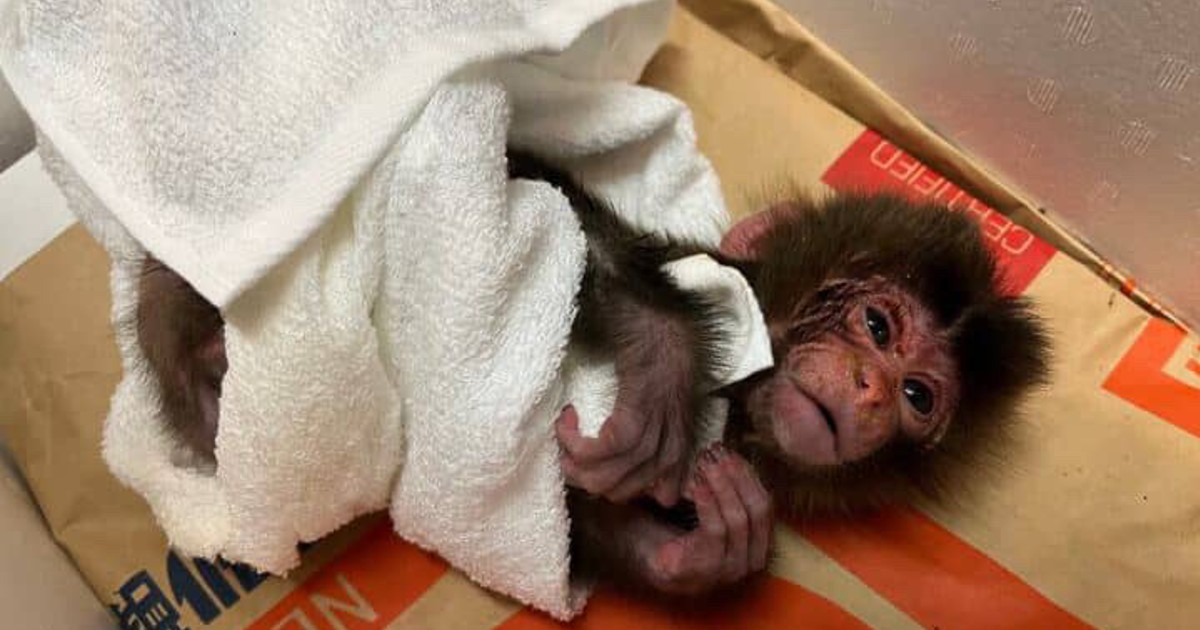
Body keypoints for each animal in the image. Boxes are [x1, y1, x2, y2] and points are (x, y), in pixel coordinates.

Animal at [134, 151, 1050, 602]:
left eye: (918, 396)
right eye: (876, 326)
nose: (869, 389)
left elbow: (585, 518)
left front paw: (710, 552)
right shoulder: (687, 260)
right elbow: (536, 191)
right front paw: (664, 355)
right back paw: (187, 347)